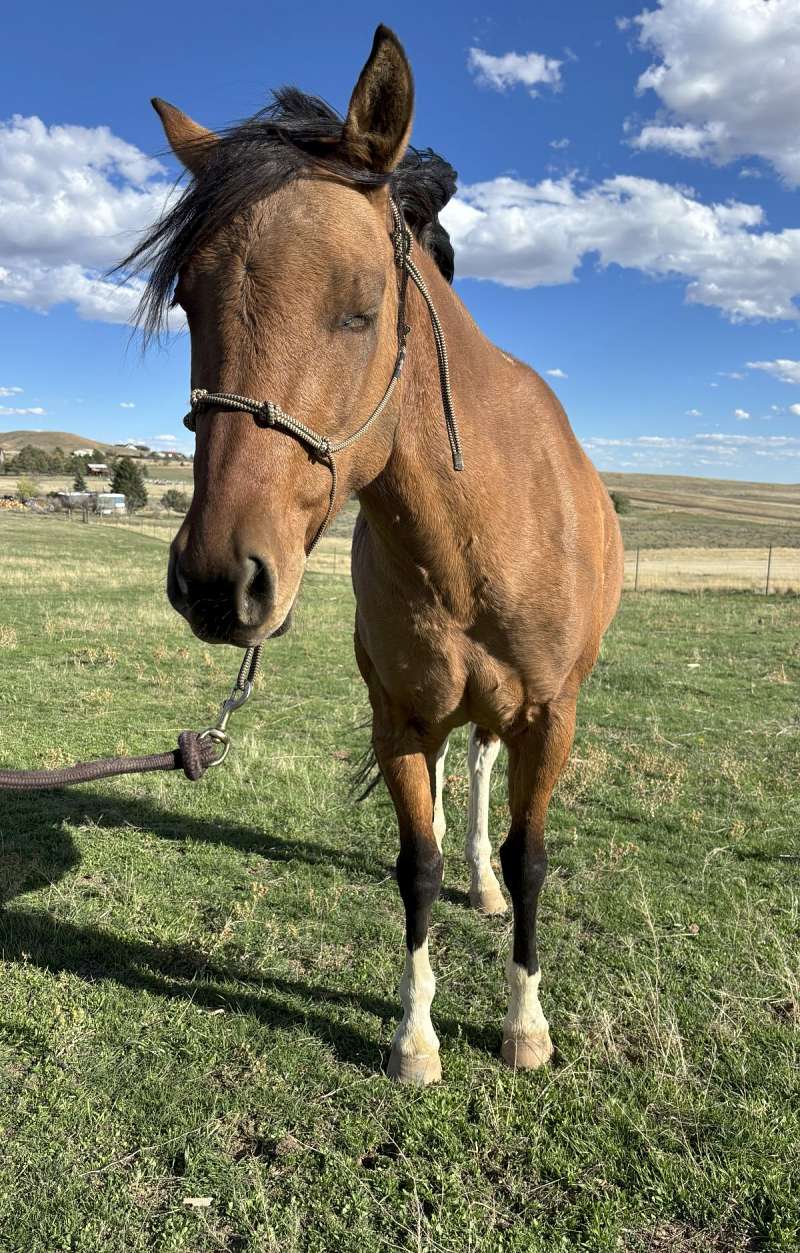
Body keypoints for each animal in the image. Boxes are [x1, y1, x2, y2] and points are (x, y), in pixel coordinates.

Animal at [124, 25, 623, 1084]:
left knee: (485, 778)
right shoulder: (399, 716)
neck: (474, 533)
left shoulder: (551, 715)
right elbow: (417, 864)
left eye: (360, 307)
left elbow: (531, 859)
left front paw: (525, 1024)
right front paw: (415, 1036)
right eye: (189, 302)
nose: (219, 583)